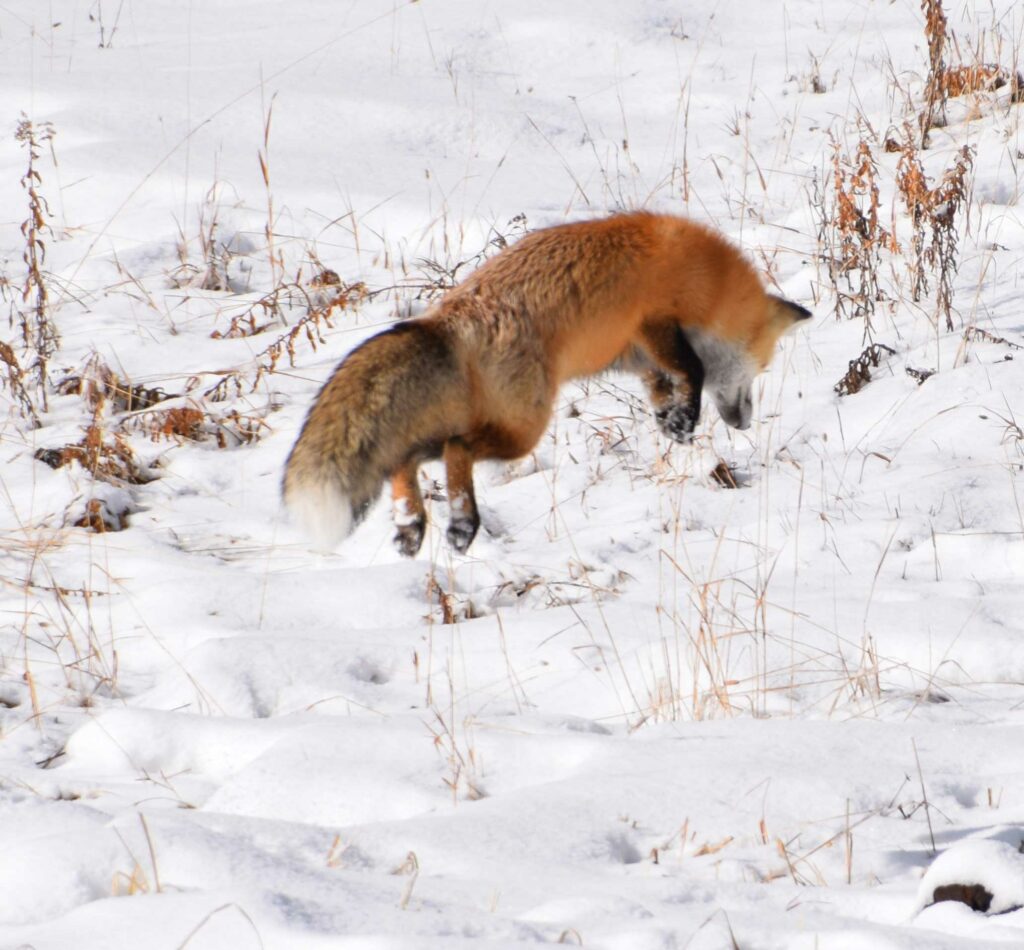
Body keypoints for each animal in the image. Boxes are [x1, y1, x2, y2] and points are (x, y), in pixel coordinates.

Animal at [283, 211, 811, 557]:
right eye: (760, 370)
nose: (744, 424)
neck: (707, 276)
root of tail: (445, 320)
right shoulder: (654, 321)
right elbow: (694, 371)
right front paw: (685, 419)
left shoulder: (636, 352)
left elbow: (663, 385)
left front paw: (672, 422)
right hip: (523, 428)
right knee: (455, 449)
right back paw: (462, 524)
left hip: (486, 421)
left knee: (406, 457)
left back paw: (415, 524)